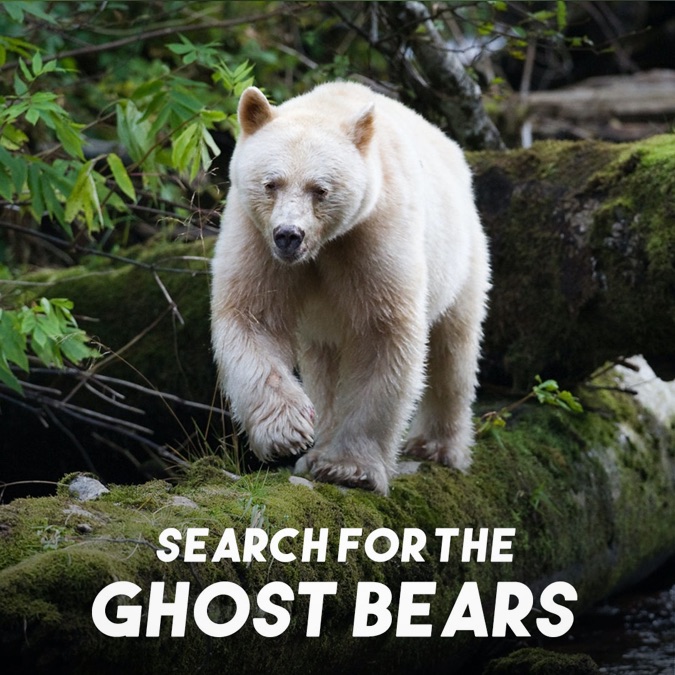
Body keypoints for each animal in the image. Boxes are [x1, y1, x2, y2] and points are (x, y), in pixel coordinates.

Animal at [210, 81, 490, 495]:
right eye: (271, 184)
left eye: (320, 190)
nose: (288, 235)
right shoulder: (255, 237)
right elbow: (253, 317)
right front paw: (287, 432)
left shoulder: (373, 234)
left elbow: (382, 335)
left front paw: (349, 467)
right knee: (323, 364)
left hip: (462, 258)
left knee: (452, 349)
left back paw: (438, 447)